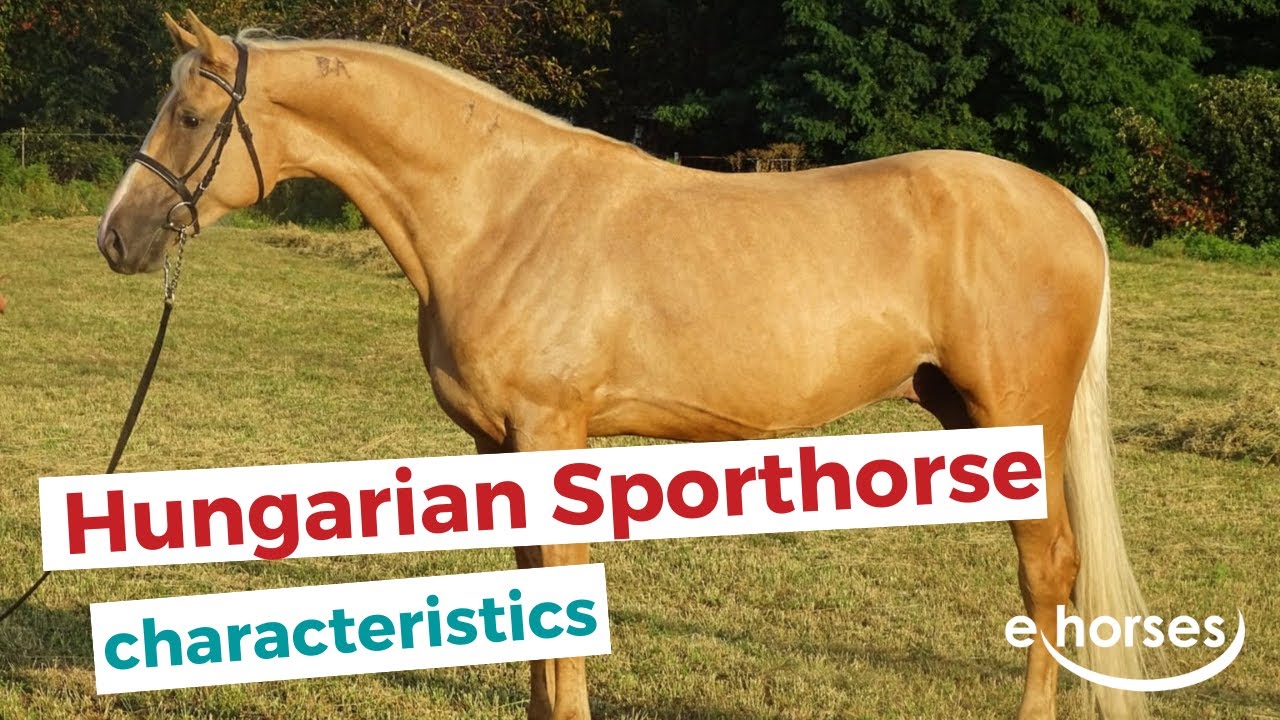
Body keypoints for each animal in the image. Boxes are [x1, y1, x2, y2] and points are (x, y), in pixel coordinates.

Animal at [97, 10, 1150, 720]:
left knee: (1047, 568)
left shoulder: (548, 434)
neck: (500, 210)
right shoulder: (499, 447)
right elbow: (530, 590)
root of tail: (1066, 203)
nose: (118, 238)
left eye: (189, 114)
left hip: (1015, 419)